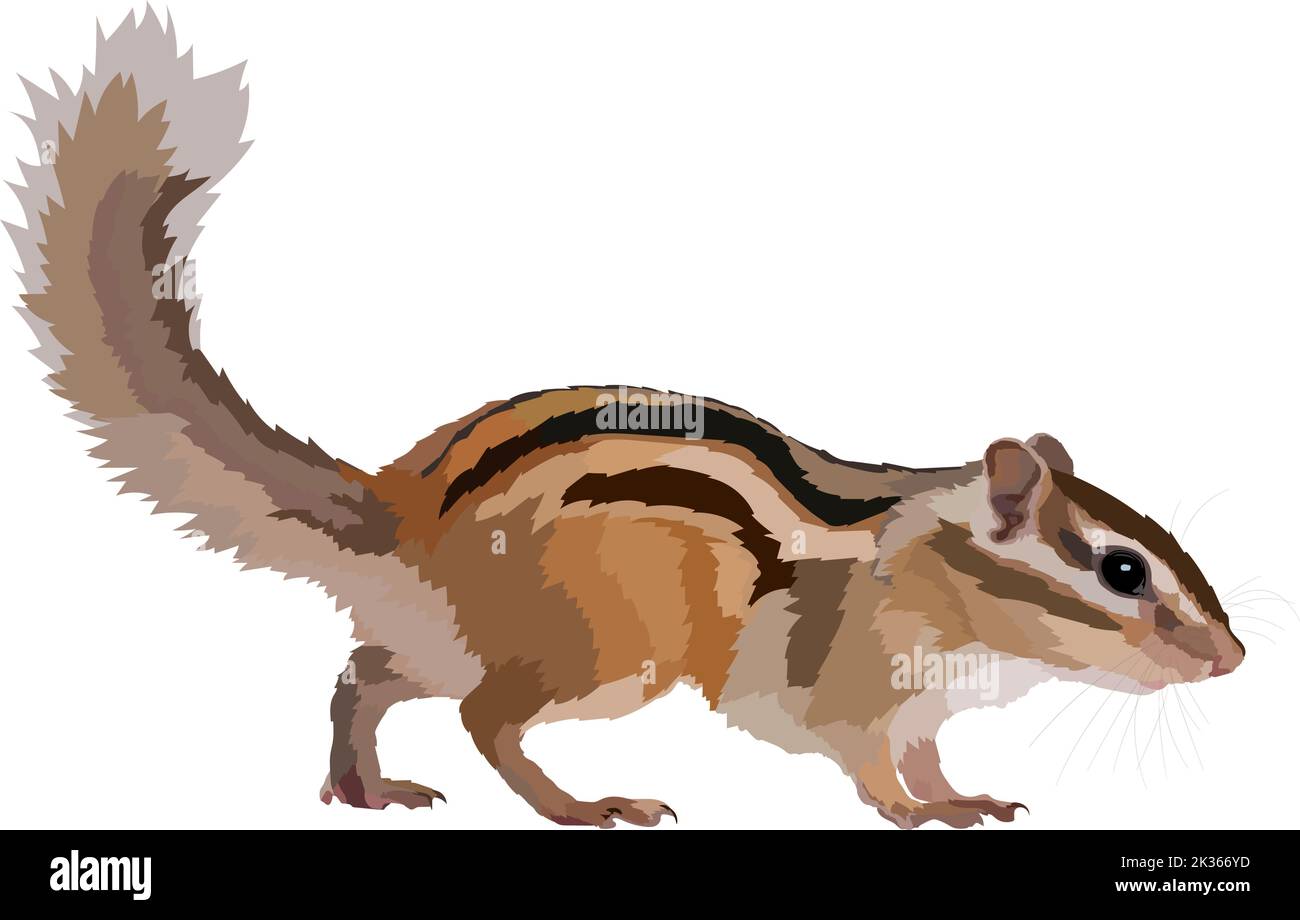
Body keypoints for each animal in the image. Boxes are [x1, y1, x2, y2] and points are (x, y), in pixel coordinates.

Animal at [12, 11, 1244, 829]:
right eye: (1122, 569)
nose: (1234, 660)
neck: (933, 571)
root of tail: (404, 518)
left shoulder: (929, 709)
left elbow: (933, 757)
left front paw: (968, 799)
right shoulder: (854, 692)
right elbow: (871, 767)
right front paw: (915, 812)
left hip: (457, 640)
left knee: (366, 673)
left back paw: (363, 785)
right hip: (611, 652)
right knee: (487, 719)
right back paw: (583, 804)